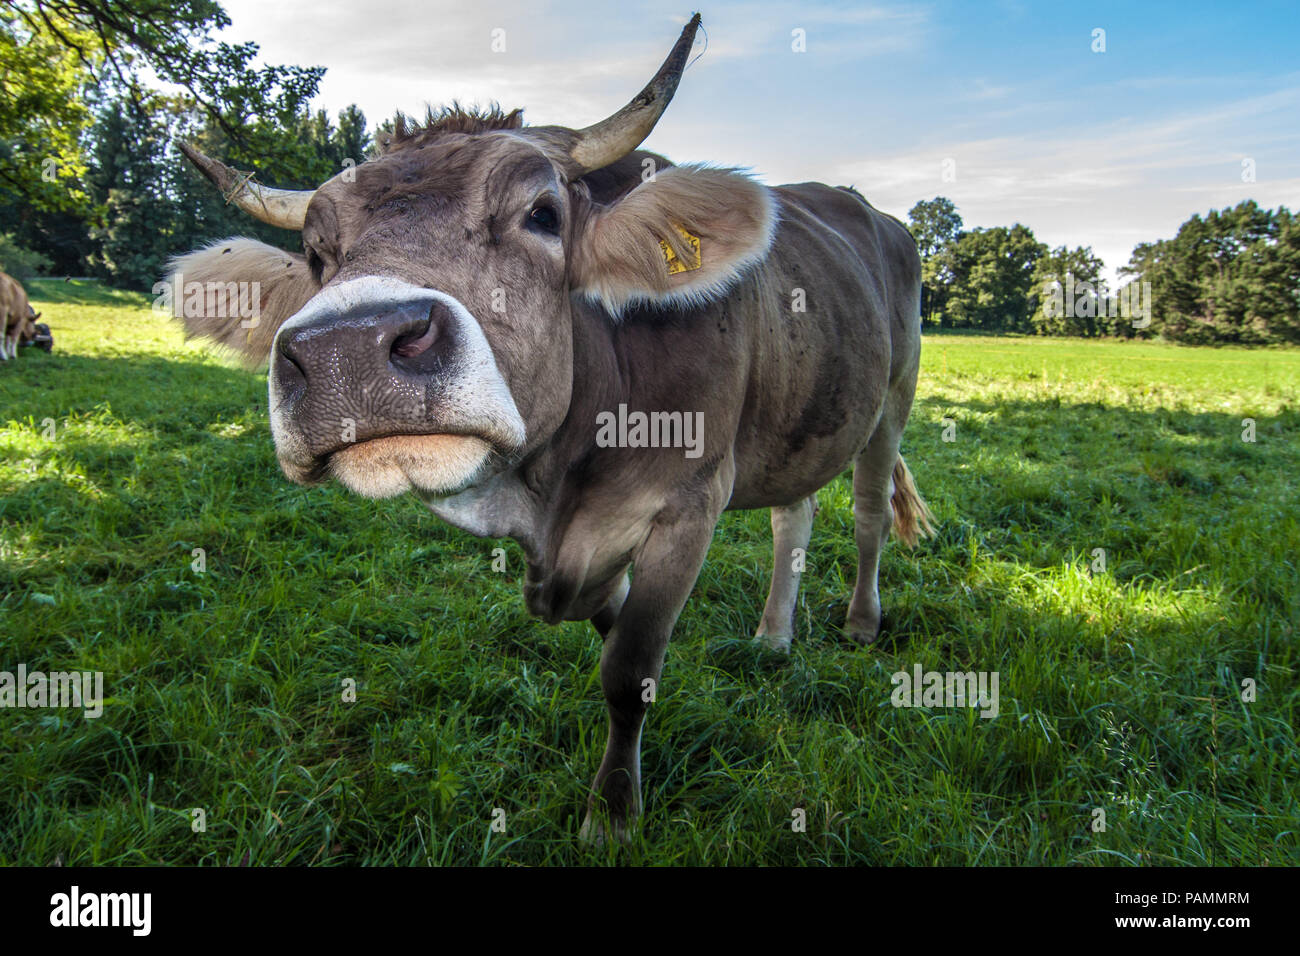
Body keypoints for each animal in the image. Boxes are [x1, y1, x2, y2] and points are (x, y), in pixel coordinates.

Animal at [168, 14, 932, 841]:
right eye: (316, 253)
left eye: (541, 214)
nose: (349, 350)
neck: (554, 492)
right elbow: (613, 627)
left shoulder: (689, 505)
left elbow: (629, 671)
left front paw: (613, 812)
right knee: (794, 513)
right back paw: (772, 636)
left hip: (894, 395)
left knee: (866, 513)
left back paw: (860, 623)